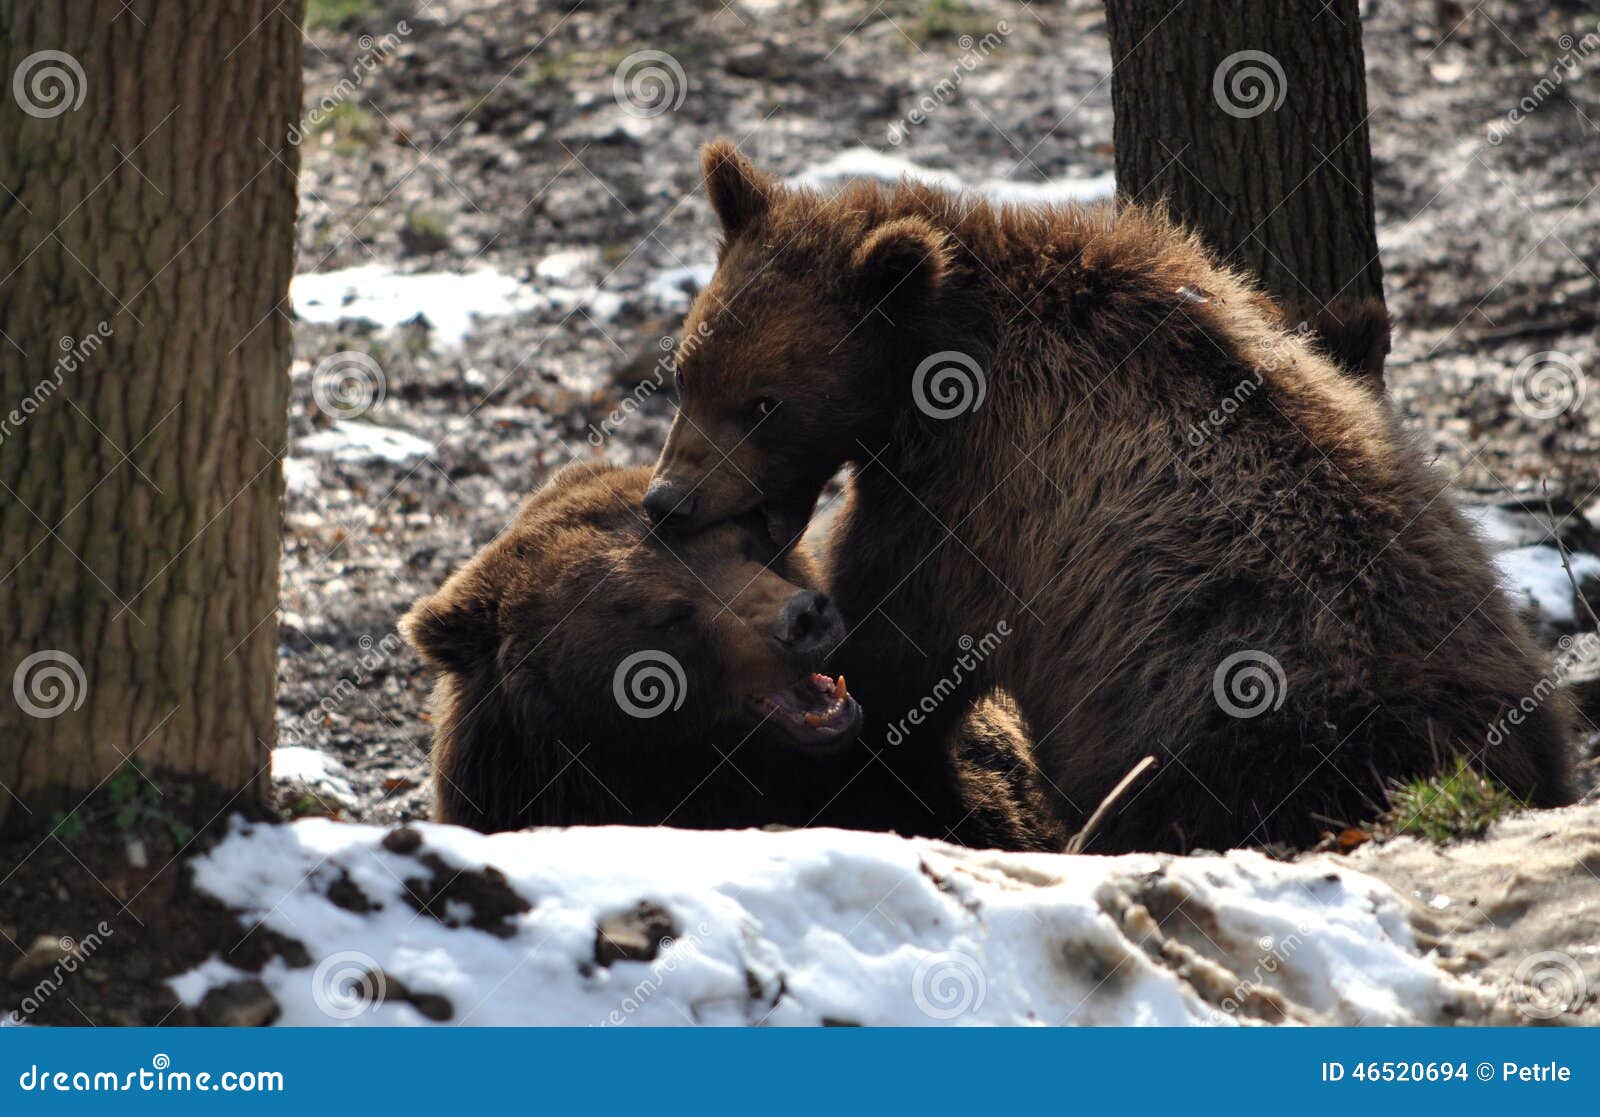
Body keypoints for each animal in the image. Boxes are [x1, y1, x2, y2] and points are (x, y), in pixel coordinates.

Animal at [641, 140, 1576, 853]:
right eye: (685, 373)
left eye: (764, 403)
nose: (667, 499)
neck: (925, 375)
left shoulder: (966, 506)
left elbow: (896, 645)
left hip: (1226, 729)